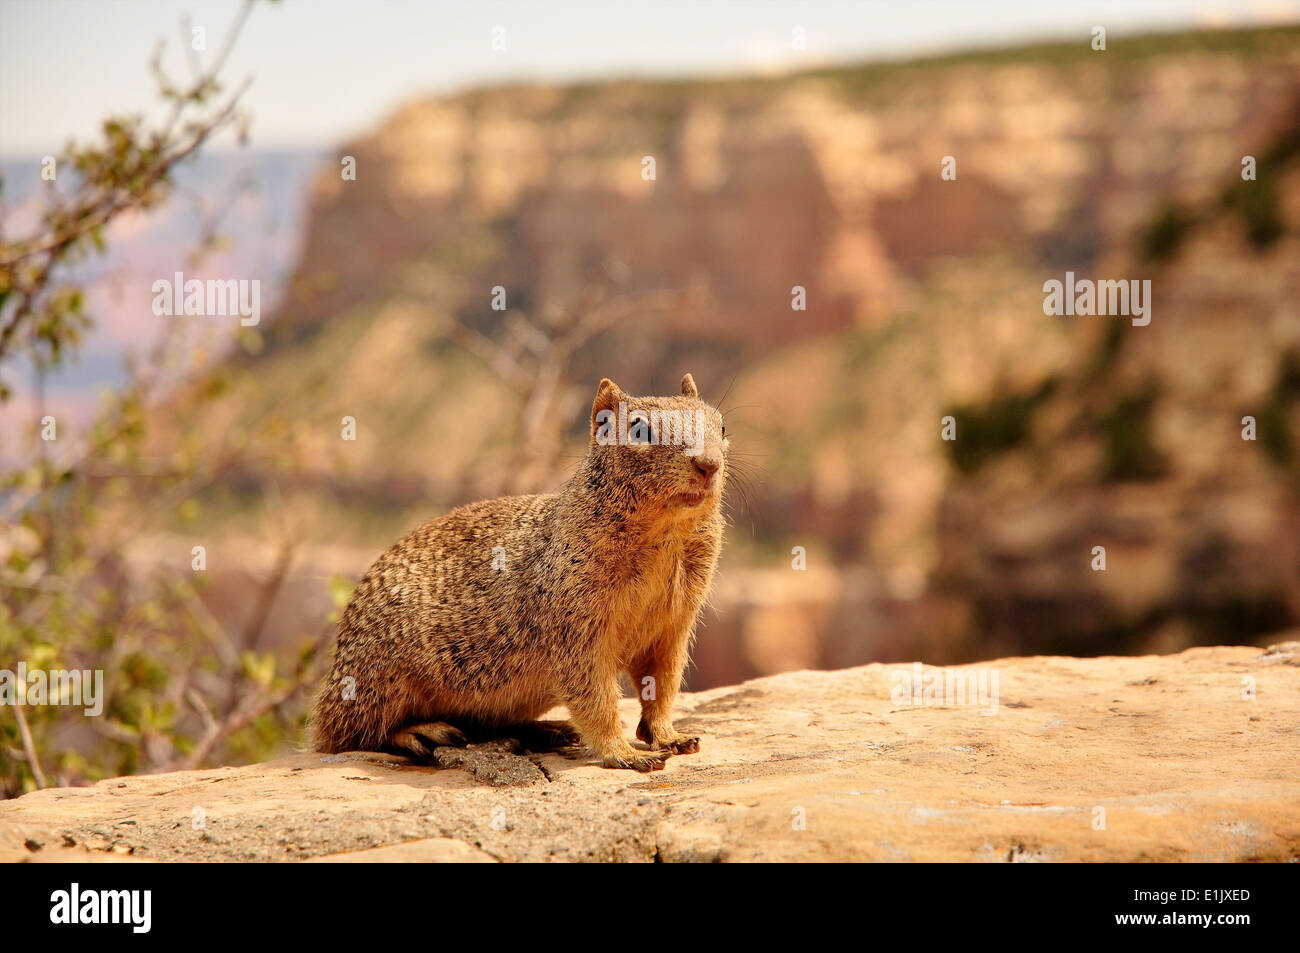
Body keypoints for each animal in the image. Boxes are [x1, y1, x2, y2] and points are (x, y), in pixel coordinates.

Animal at [310, 373, 727, 772]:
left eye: (721, 426)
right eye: (639, 430)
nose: (709, 465)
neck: (665, 538)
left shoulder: (672, 628)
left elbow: (662, 687)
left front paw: (670, 736)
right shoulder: (576, 630)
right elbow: (596, 697)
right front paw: (624, 753)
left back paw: (548, 729)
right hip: (378, 678)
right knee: (352, 734)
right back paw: (422, 733)